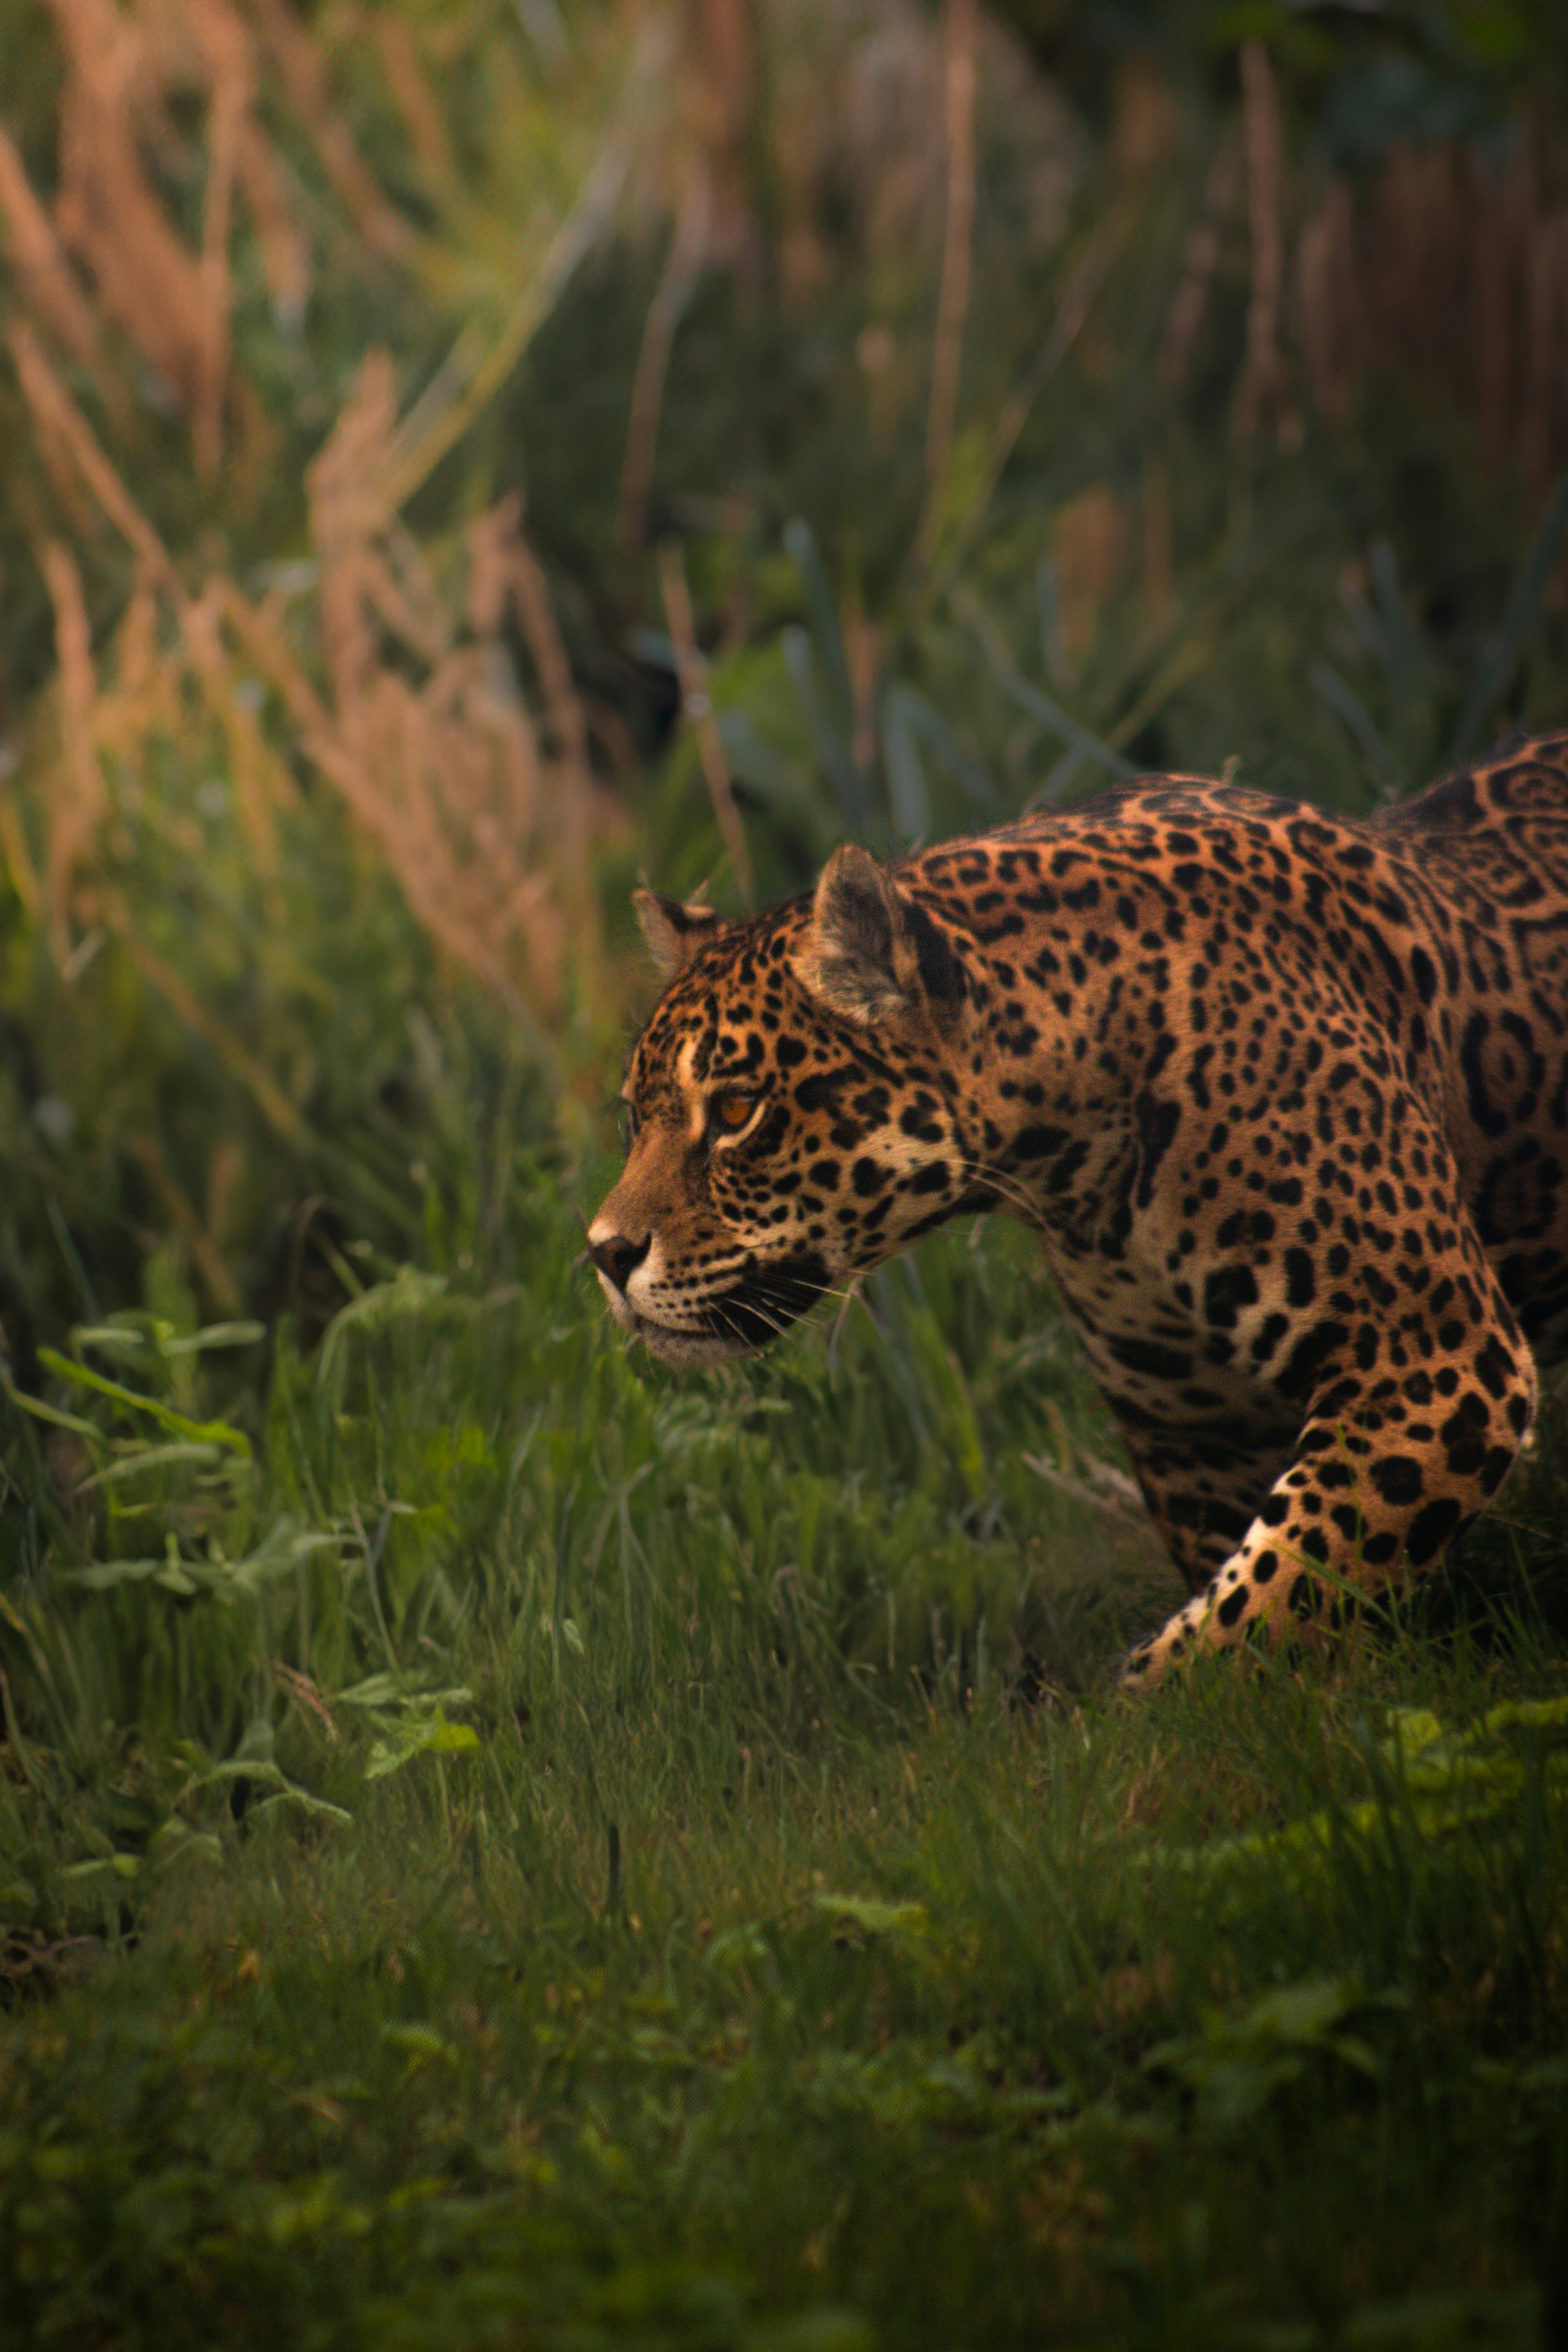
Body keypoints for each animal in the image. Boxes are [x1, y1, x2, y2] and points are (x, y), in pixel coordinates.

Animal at [588, 732, 1568, 1689]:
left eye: (736, 1110)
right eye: (636, 1116)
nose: (602, 1254)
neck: (1075, 1170)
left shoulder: (1433, 1356)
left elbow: (1259, 1607)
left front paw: (1136, 1715)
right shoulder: (1194, 1434)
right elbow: (1260, 1600)